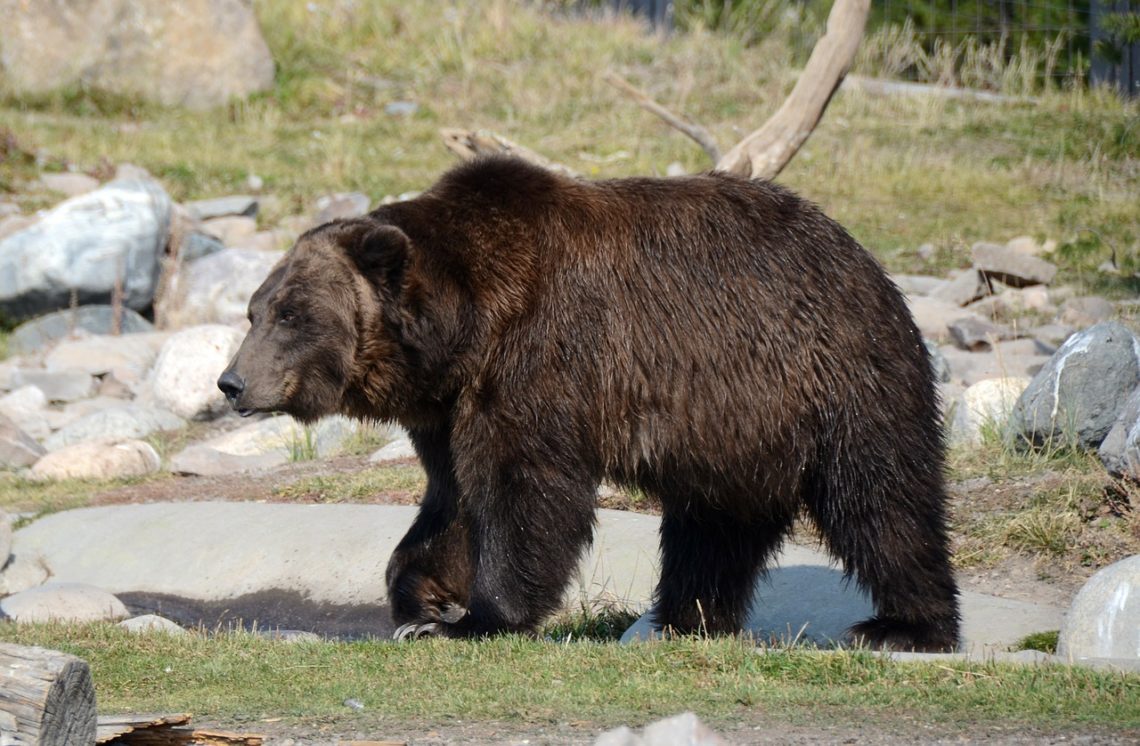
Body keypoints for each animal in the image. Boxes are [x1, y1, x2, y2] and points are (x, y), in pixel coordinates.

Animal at [218, 156, 960, 651]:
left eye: (290, 314)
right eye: (256, 309)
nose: (231, 383)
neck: (465, 325)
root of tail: (863, 257)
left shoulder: (542, 356)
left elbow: (526, 493)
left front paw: (480, 616)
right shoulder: (452, 405)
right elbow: (452, 501)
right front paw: (423, 599)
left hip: (835, 374)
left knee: (882, 499)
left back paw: (903, 626)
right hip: (734, 429)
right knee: (714, 525)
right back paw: (686, 618)